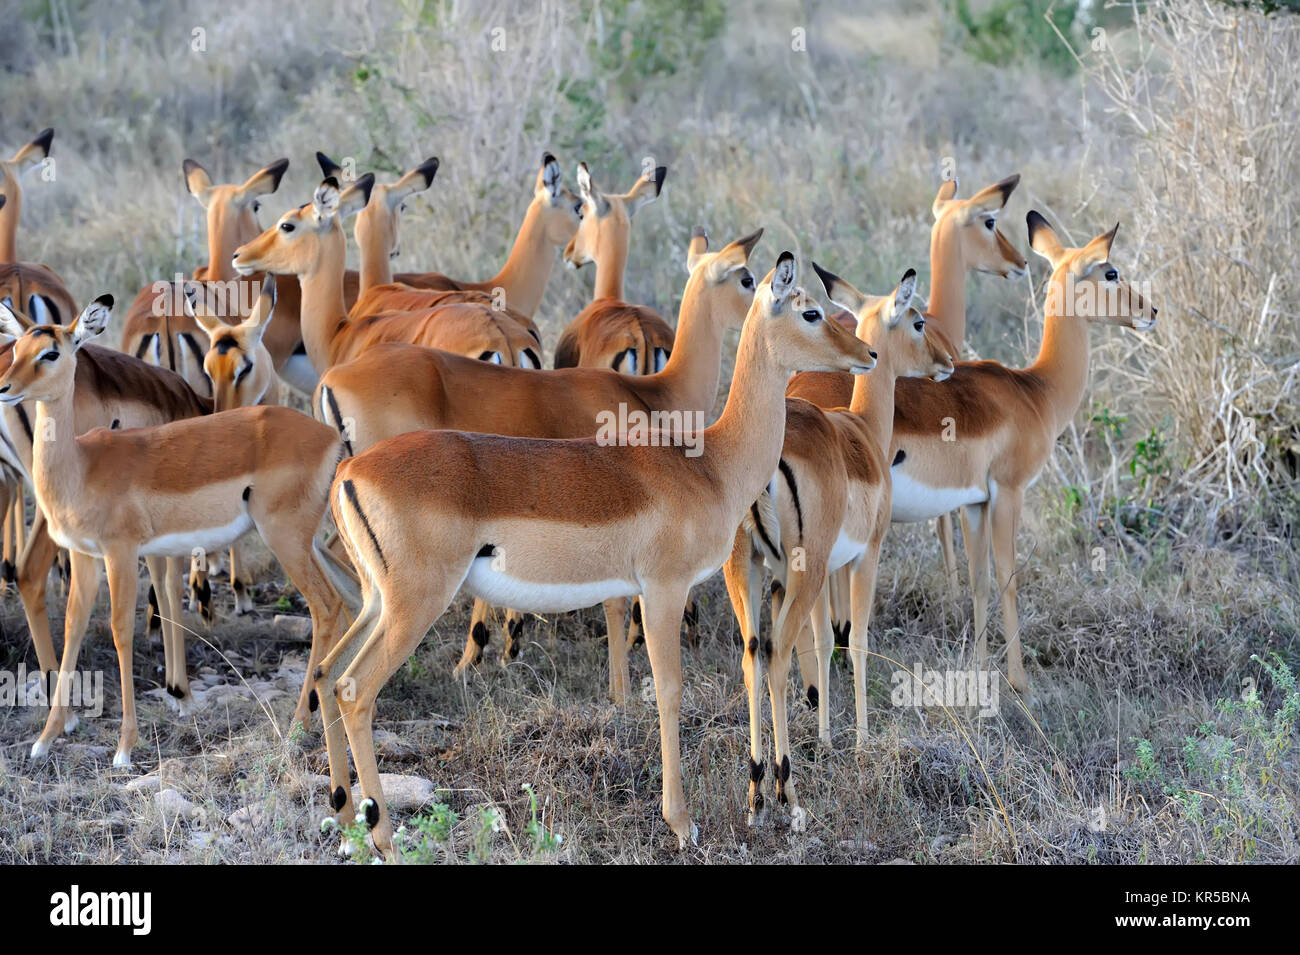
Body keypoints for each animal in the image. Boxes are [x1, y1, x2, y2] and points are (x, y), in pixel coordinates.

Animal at [0, 298, 357, 765]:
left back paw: (298, 726)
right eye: (17, 347)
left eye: (51, 352)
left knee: (327, 607)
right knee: (355, 598)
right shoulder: (83, 555)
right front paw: (46, 738)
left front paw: (126, 746)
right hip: (312, 541)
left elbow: (121, 628)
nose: (5, 386)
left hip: (286, 539)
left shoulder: (121, 552)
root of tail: (330, 436)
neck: (81, 466)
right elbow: (74, 626)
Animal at [723, 267, 954, 822]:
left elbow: (827, 641)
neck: (864, 432)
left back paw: (755, 793)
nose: (947, 363)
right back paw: (787, 794)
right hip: (801, 571)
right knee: (778, 653)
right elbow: (858, 641)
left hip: (747, 569)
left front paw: (827, 737)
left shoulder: (819, 569)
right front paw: (859, 741)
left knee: (751, 654)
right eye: (917, 321)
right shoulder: (865, 555)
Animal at [876, 212, 1155, 692]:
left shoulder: (974, 503)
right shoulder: (1009, 491)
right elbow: (1009, 578)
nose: (1150, 311)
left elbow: (980, 581)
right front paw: (1020, 683)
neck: (1035, 390)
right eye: (1110, 272)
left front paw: (978, 667)